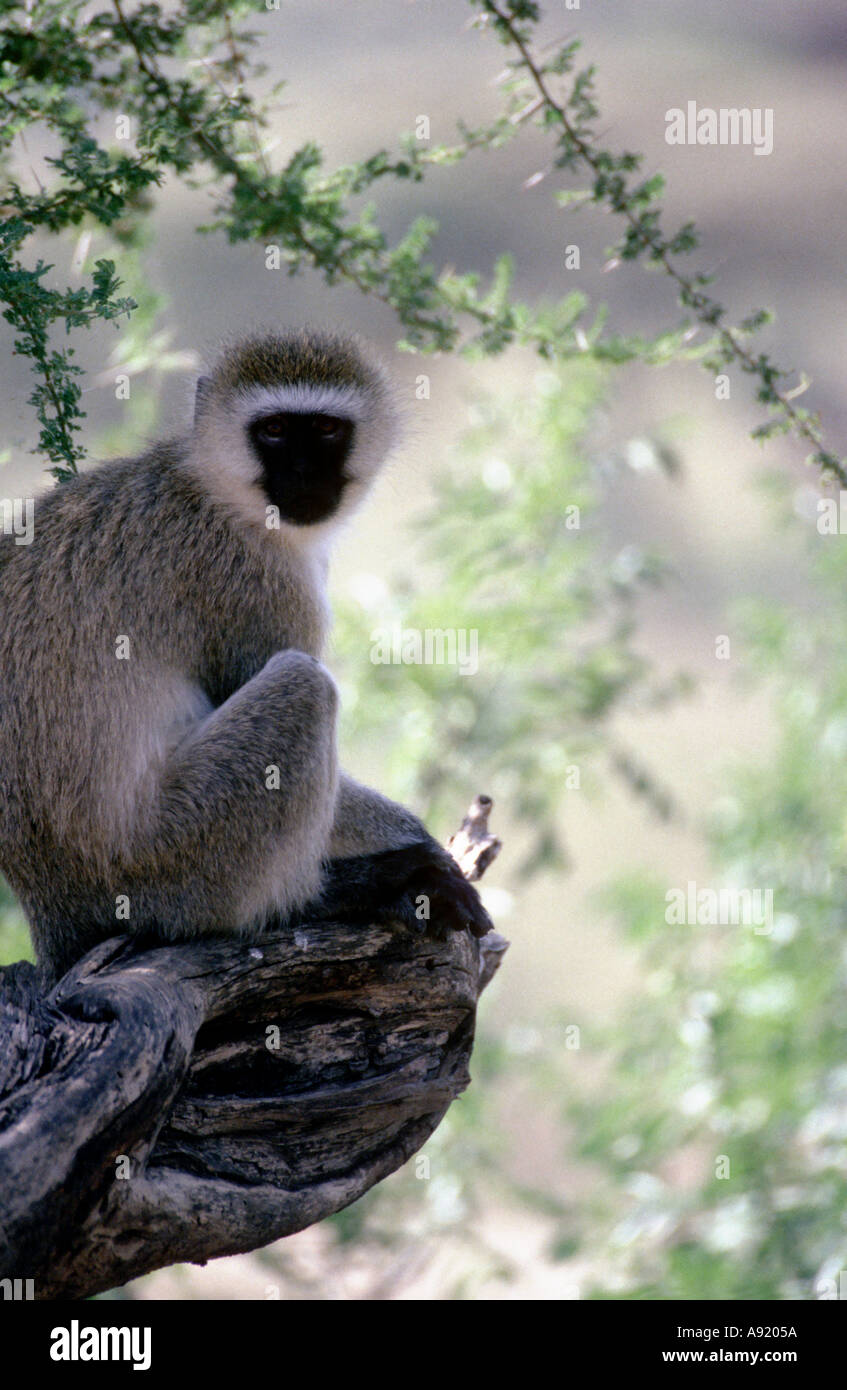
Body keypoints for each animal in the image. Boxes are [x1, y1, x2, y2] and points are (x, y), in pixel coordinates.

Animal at [0, 329, 492, 984]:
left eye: (327, 430)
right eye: (276, 430)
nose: (305, 474)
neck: (216, 487)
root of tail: (56, 911)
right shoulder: (256, 584)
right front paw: (423, 848)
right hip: (174, 860)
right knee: (304, 689)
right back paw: (327, 896)